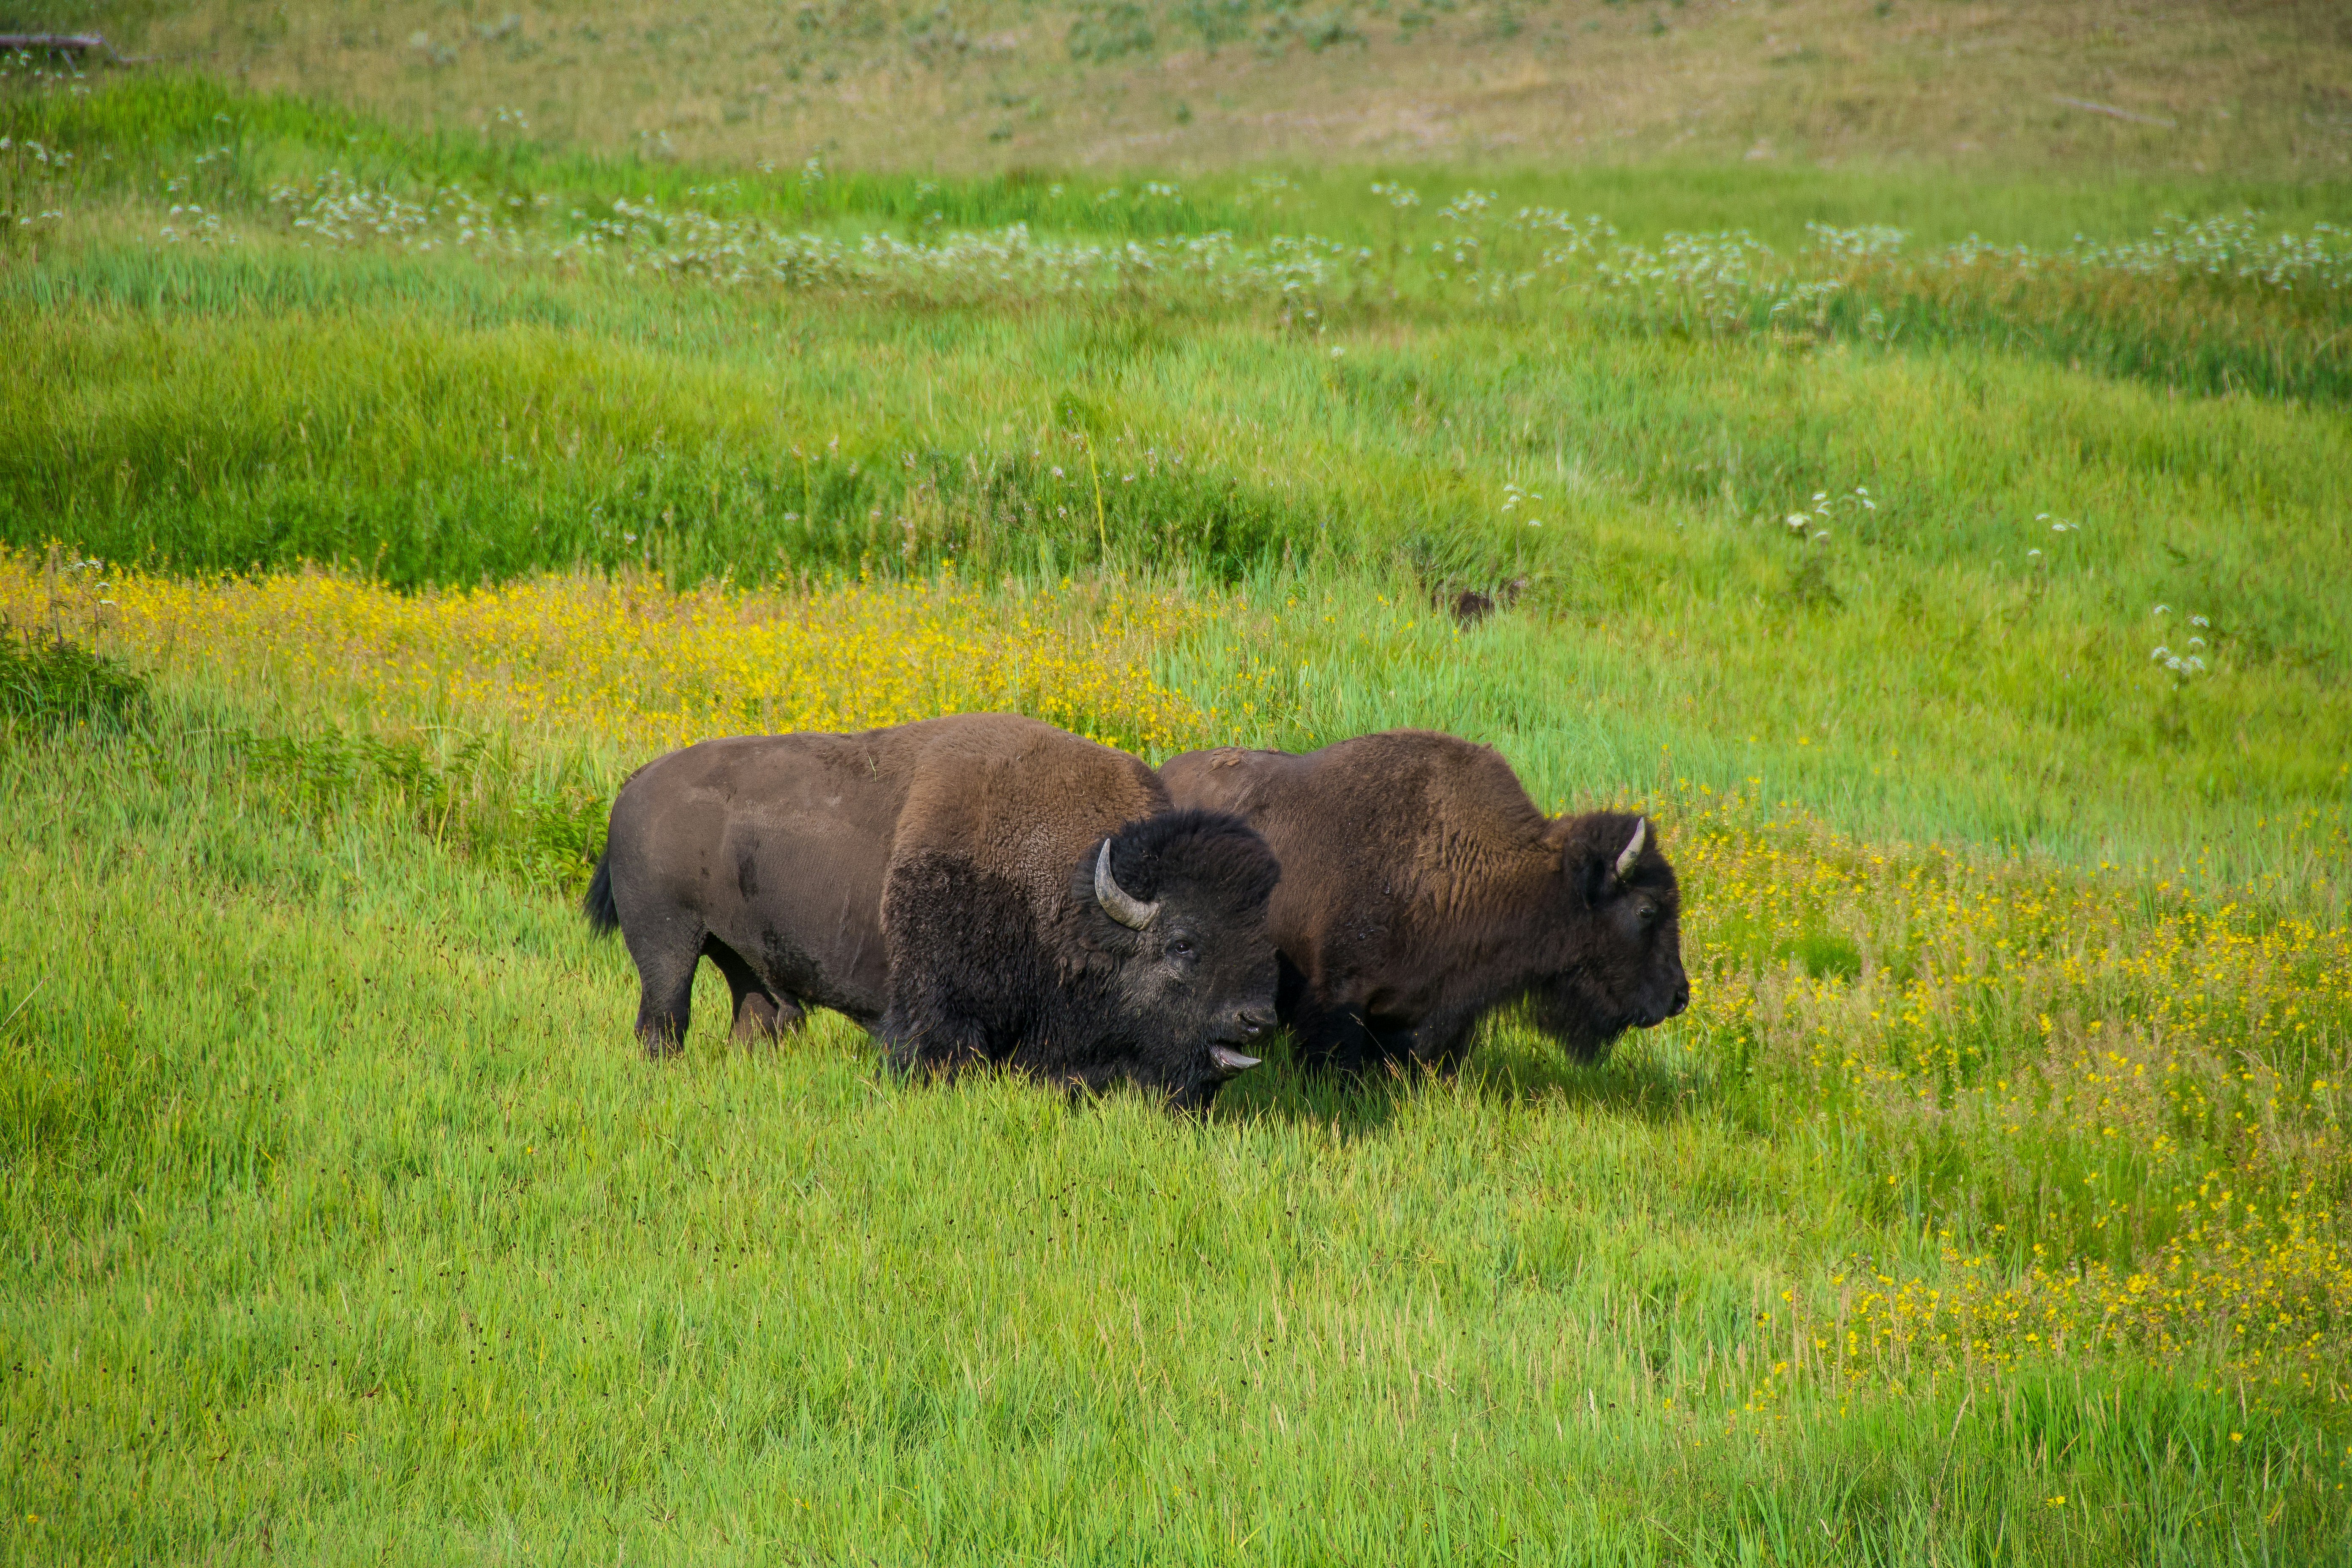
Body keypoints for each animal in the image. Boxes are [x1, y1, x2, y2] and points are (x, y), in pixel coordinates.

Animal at [585, 713, 1283, 1108]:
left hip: (743, 960)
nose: (1256, 1020)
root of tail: (636, 784)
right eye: (1183, 944)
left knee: (755, 1017)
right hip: (668, 945)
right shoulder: (937, 1015)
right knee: (663, 1022)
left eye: (1260, 936)